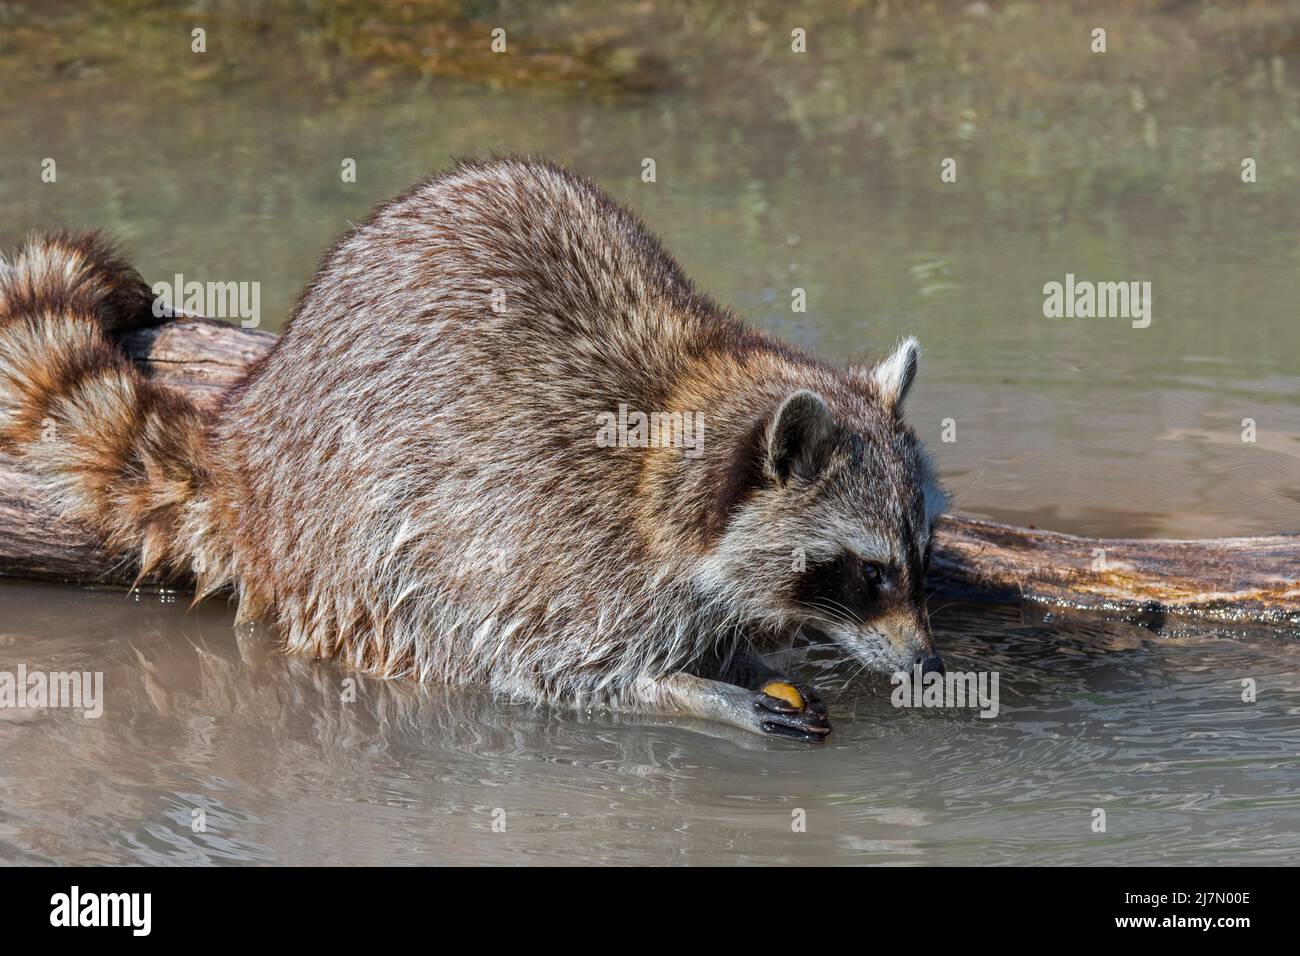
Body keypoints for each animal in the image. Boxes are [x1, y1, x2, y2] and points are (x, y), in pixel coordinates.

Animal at [0, 158, 946, 742]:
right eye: (870, 573)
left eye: (920, 556)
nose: (930, 667)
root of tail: (252, 442)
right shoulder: (560, 551)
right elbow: (555, 670)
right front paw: (697, 692)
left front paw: (740, 654)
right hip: (347, 527)